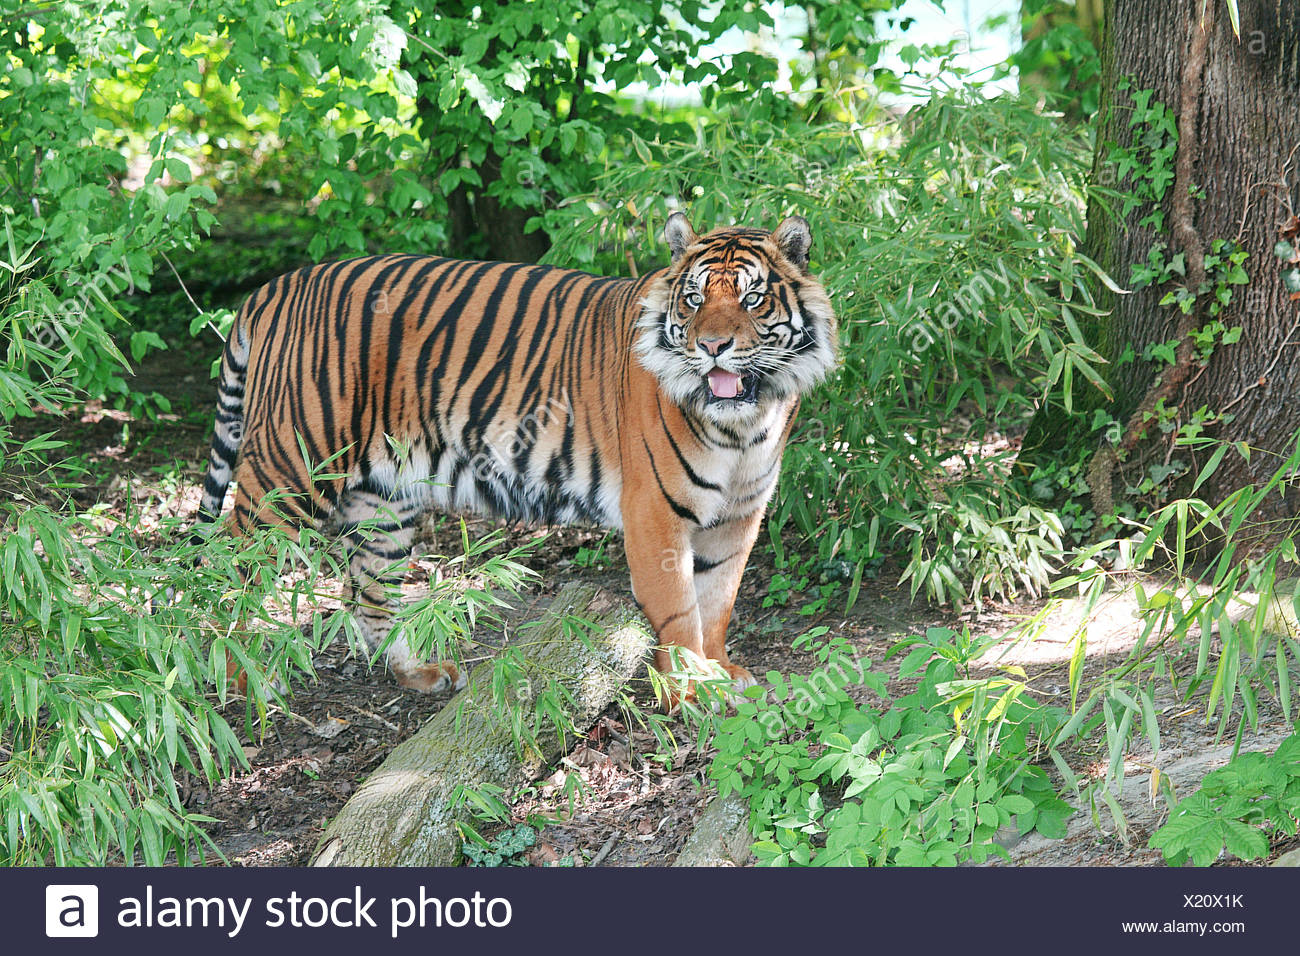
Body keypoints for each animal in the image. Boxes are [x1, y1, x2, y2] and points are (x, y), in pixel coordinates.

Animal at [194, 212, 837, 697]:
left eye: (753, 299)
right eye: (694, 298)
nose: (713, 346)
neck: (745, 426)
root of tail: (274, 287)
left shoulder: (740, 513)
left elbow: (719, 598)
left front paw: (721, 669)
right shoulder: (655, 511)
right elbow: (679, 607)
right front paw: (693, 686)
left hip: (385, 497)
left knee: (369, 588)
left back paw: (418, 672)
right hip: (290, 470)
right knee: (232, 568)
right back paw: (242, 680)